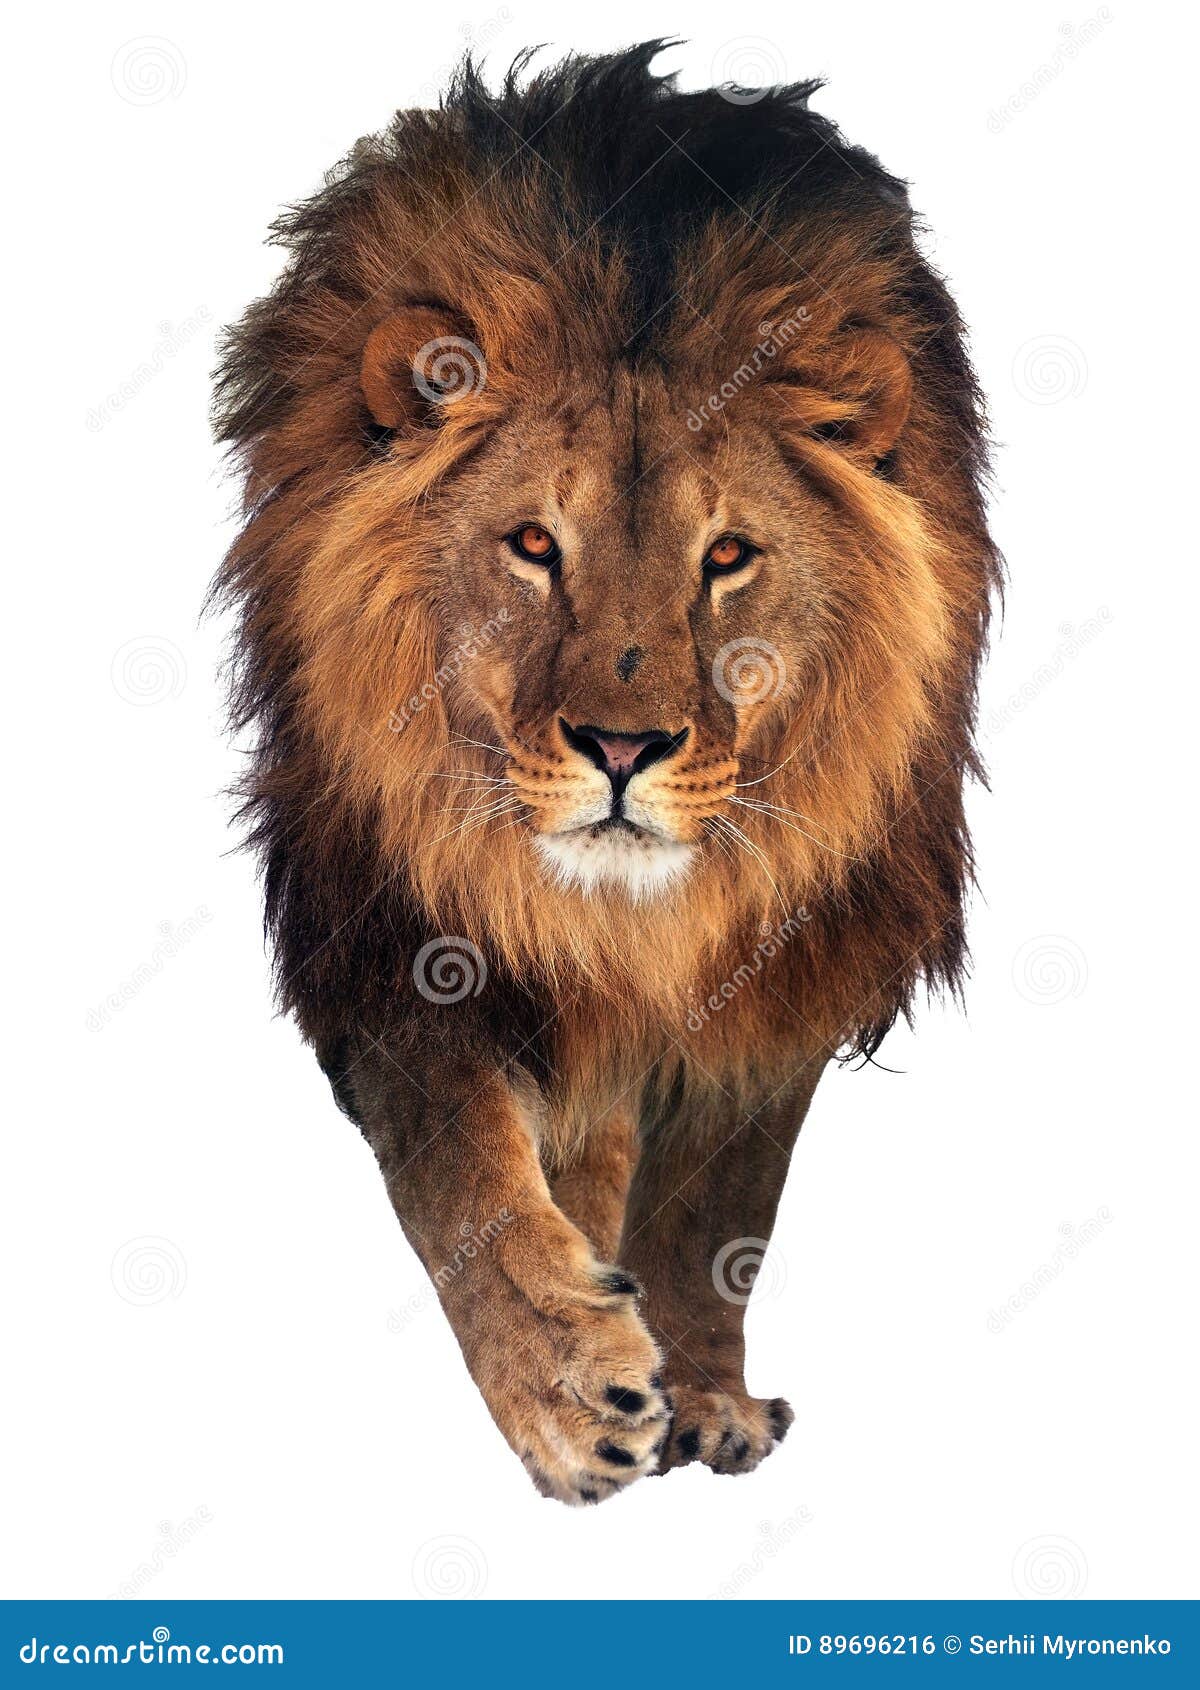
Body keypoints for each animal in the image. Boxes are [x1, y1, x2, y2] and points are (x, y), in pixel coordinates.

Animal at [213, 42, 999, 1504]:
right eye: (534, 544)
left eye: (728, 555)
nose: (624, 749)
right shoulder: (392, 924)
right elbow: (464, 1170)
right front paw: (572, 1387)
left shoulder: (790, 961)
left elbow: (721, 1205)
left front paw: (704, 1395)